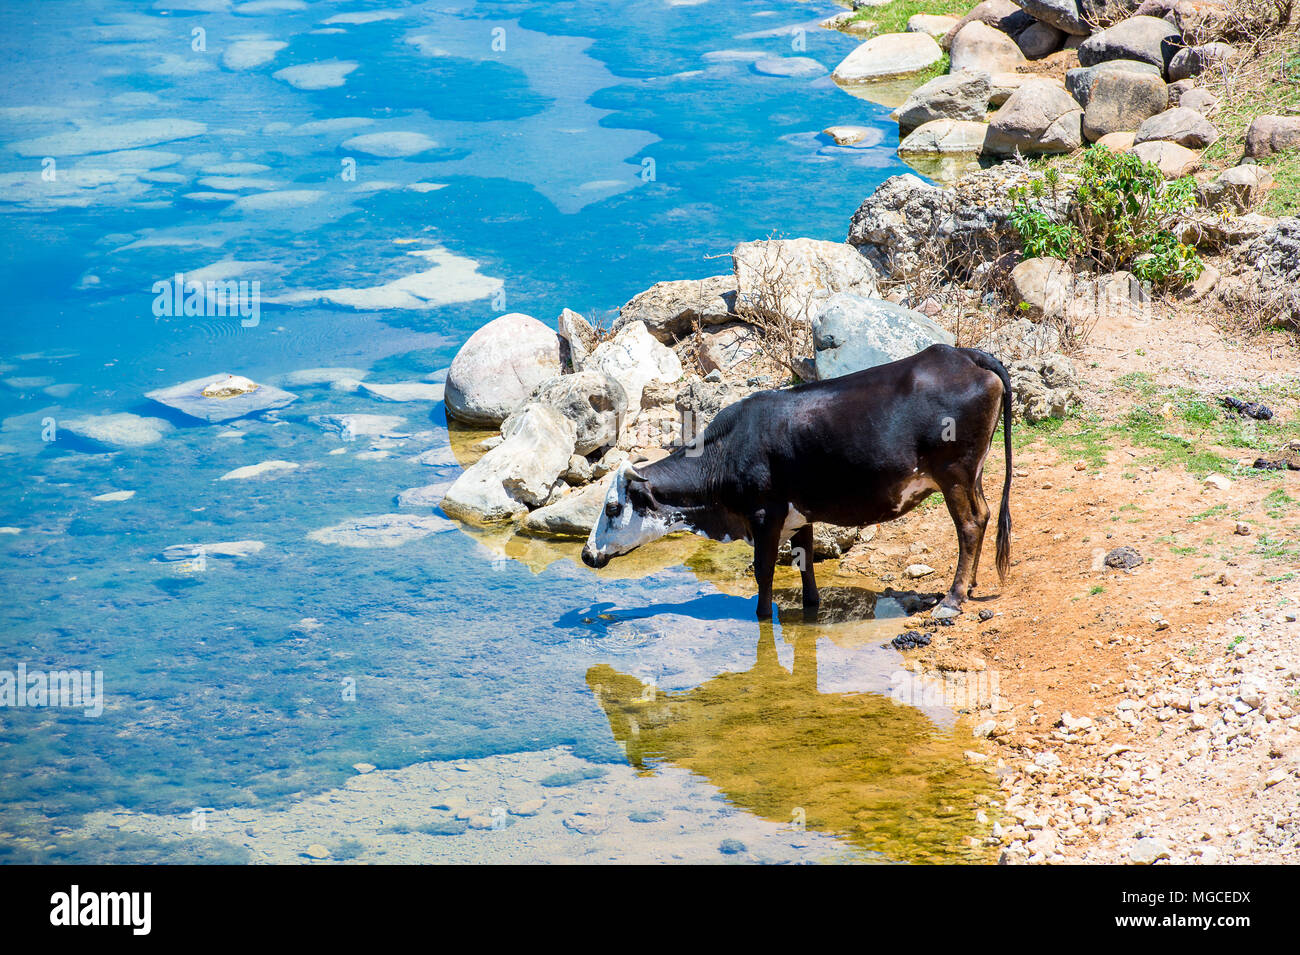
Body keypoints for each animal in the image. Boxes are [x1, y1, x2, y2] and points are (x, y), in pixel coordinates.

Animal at [581, 344, 1013, 620]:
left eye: (613, 507)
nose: (586, 554)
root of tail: (961, 355)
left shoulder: (764, 516)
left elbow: (764, 573)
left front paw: (761, 615)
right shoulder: (800, 516)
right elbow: (805, 568)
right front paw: (810, 606)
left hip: (954, 473)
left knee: (970, 524)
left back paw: (953, 598)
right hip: (972, 475)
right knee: (983, 515)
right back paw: (969, 585)